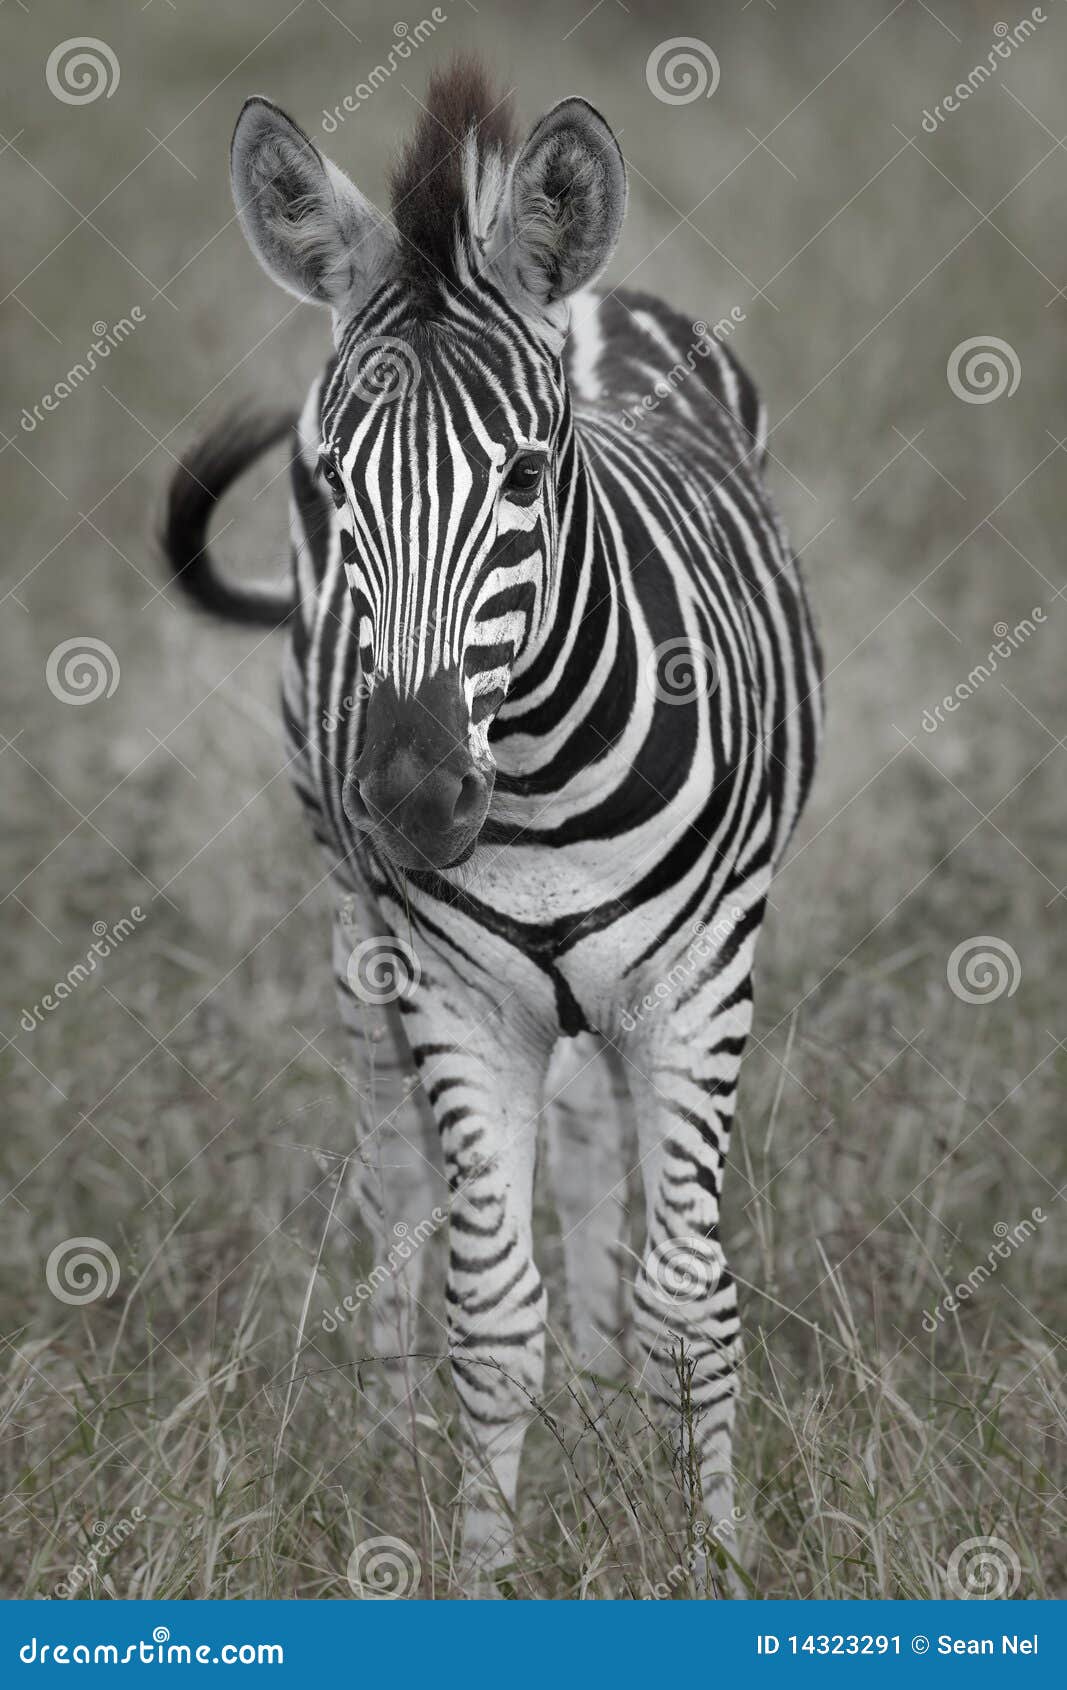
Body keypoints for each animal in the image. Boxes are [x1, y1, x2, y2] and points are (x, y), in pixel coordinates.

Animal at [164, 59, 823, 1587]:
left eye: (525, 478)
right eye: (331, 485)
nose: (411, 798)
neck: (539, 770)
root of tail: (581, 286)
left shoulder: (696, 982)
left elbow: (691, 1292)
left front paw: (711, 1550)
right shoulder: (454, 993)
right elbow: (488, 1305)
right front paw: (480, 1558)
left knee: (588, 1150)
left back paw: (608, 1392)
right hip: (353, 924)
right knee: (397, 1172)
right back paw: (386, 1431)